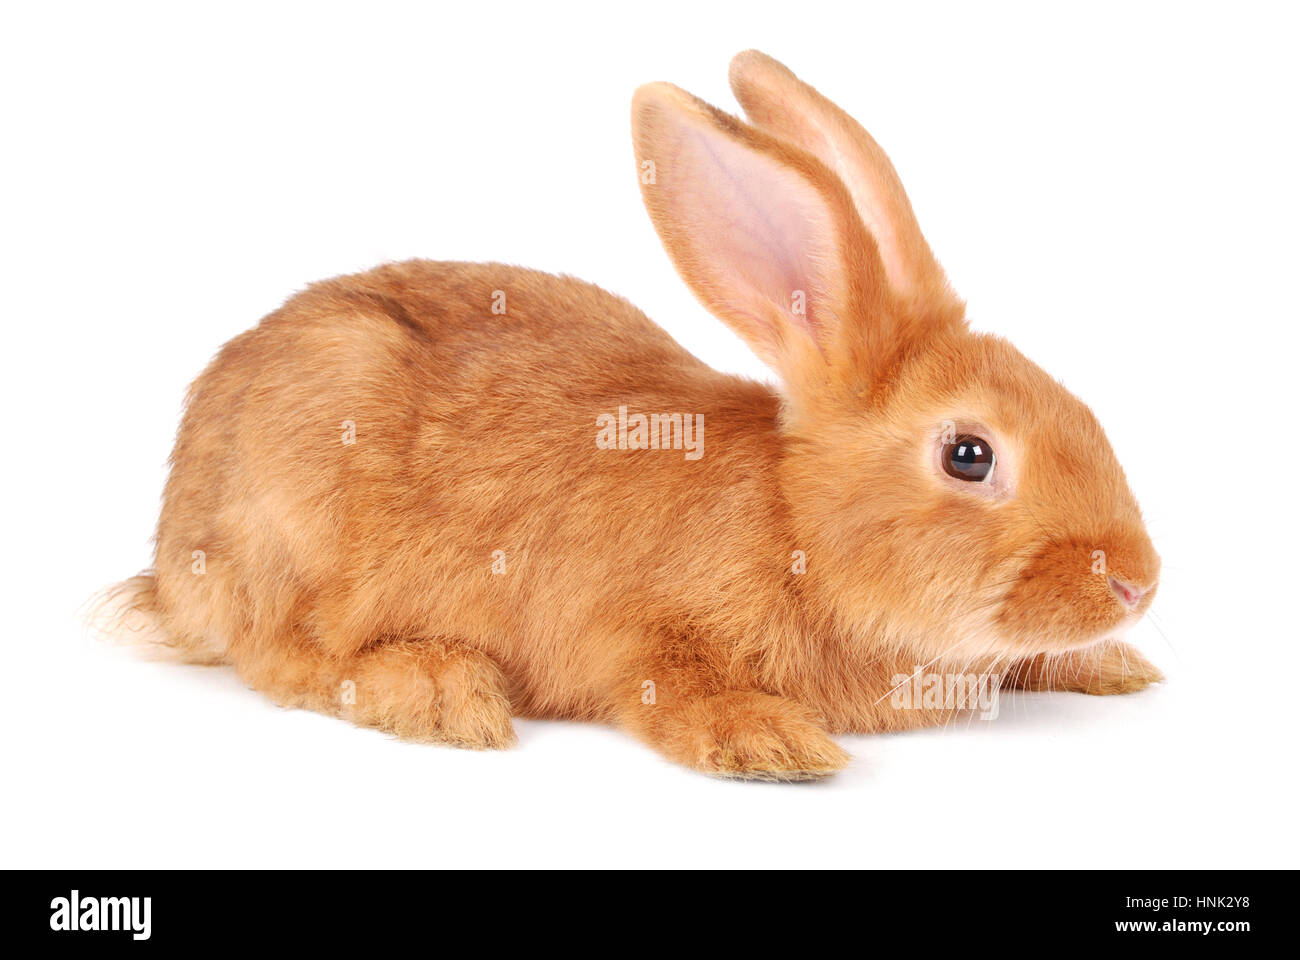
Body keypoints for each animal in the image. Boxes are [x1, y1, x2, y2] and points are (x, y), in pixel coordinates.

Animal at [107, 50, 1161, 780]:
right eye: (970, 455)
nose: (1137, 585)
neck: (797, 526)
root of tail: (171, 554)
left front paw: (1117, 667)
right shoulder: (640, 630)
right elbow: (667, 686)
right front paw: (769, 741)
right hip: (301, 505)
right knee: (287, 656)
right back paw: (443, 692)